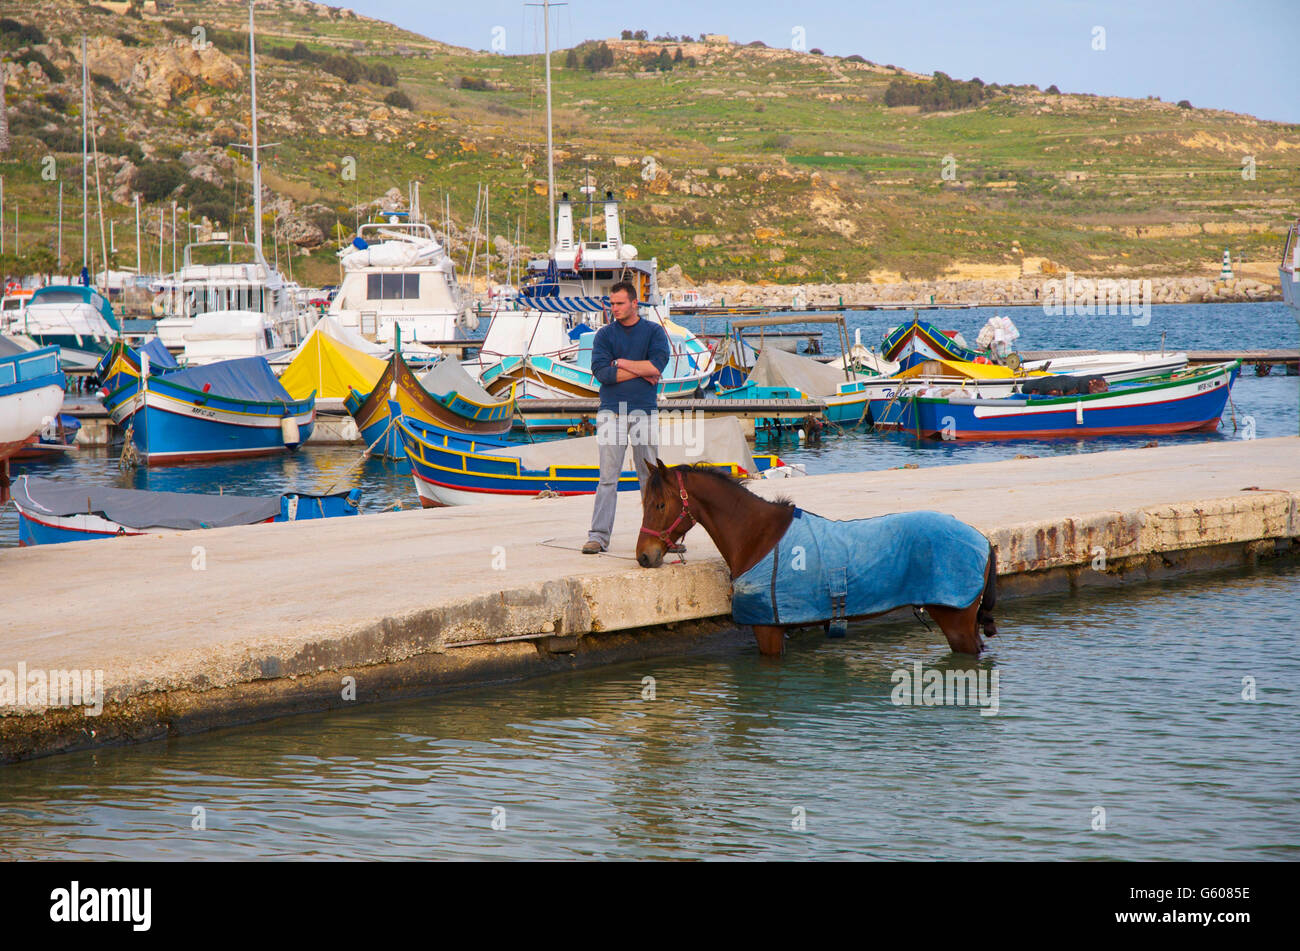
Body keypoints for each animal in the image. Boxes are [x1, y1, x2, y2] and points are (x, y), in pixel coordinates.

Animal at [636, 460, 999, 657]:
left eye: (659, 504)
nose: (643, 555)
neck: (757, 536)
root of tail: (983, 540)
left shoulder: (766, 630)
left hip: (956, 620)